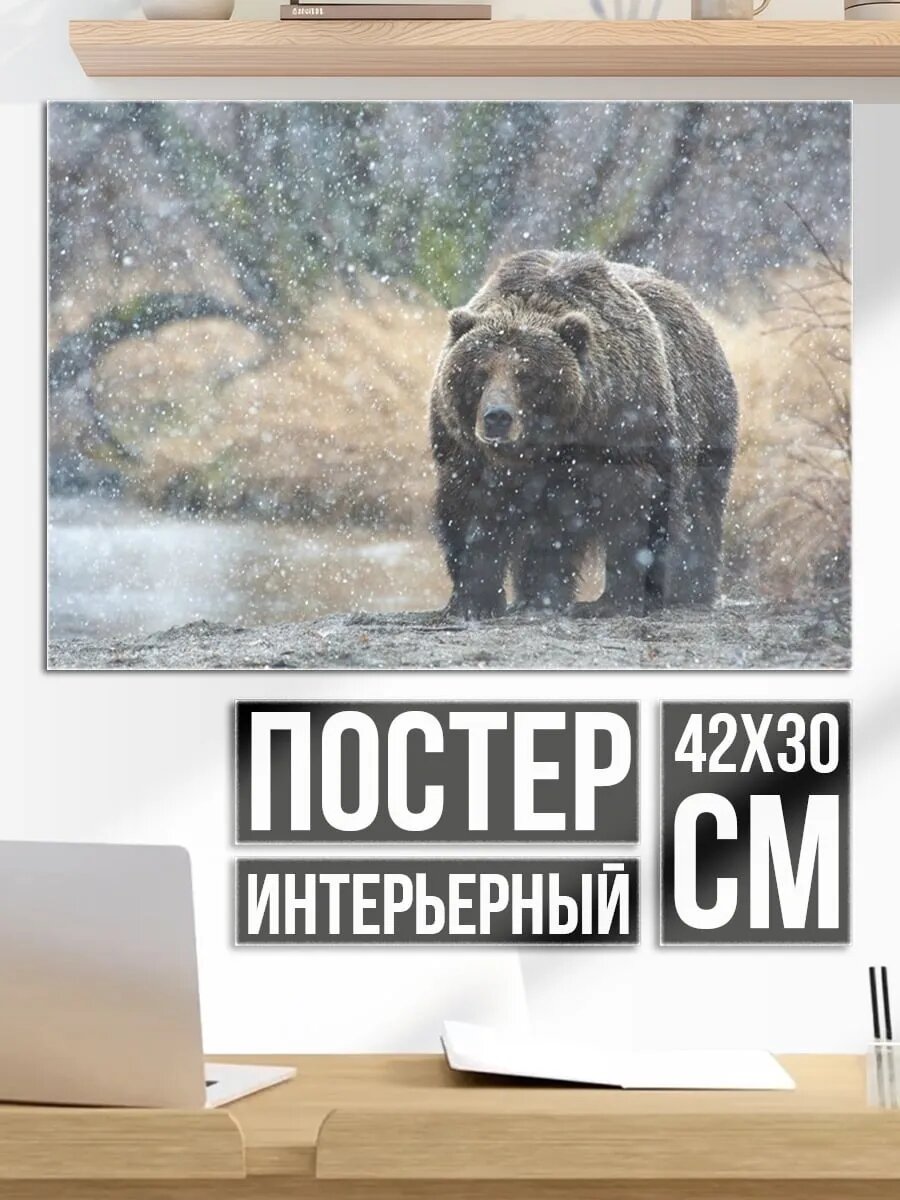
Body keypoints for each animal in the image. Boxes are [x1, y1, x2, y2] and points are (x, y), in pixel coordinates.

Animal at [428, 249, 739, 620]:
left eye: (526, 375)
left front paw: (613, 601)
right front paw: (474, 602)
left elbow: (630, 509)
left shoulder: (622, 430)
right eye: (479, 372)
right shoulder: (465, 451)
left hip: (706, 422)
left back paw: (689, 590)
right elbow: (471, 513)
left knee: (696, 510)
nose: (497, 417)